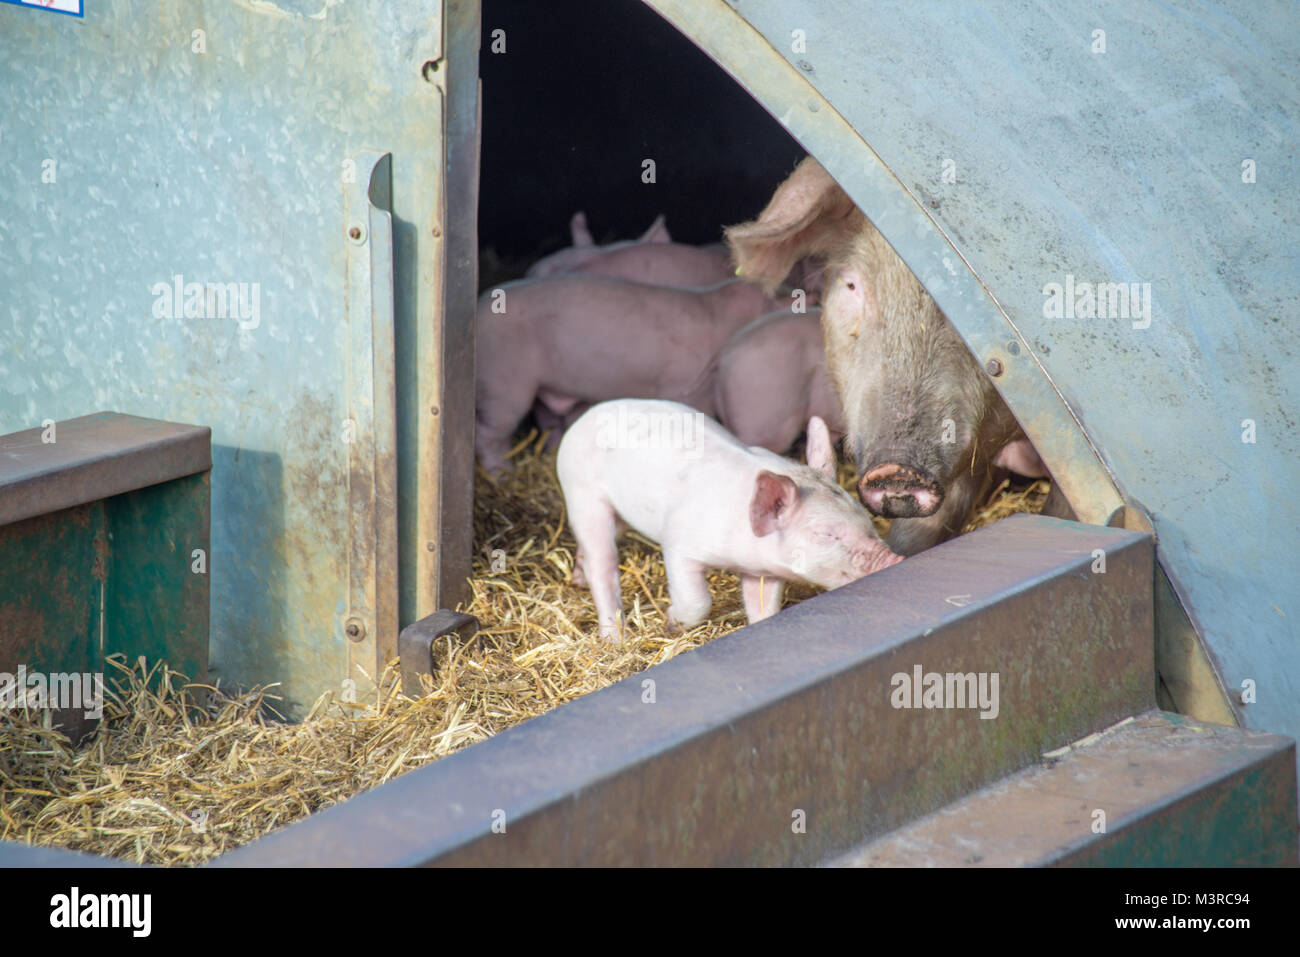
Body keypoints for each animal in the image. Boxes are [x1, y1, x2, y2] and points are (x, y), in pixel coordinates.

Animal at [556, 398, 902, 639]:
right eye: (826, 534)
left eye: (865, 517)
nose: (894, 558)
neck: (741, 552)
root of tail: (582, 421)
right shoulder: (679, 545)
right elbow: (698, 601)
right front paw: (670, 622)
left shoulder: (763, 571)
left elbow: (764, 607)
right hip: (584, 496)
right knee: (603, 565)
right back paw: (614, 637)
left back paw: (577, 578)